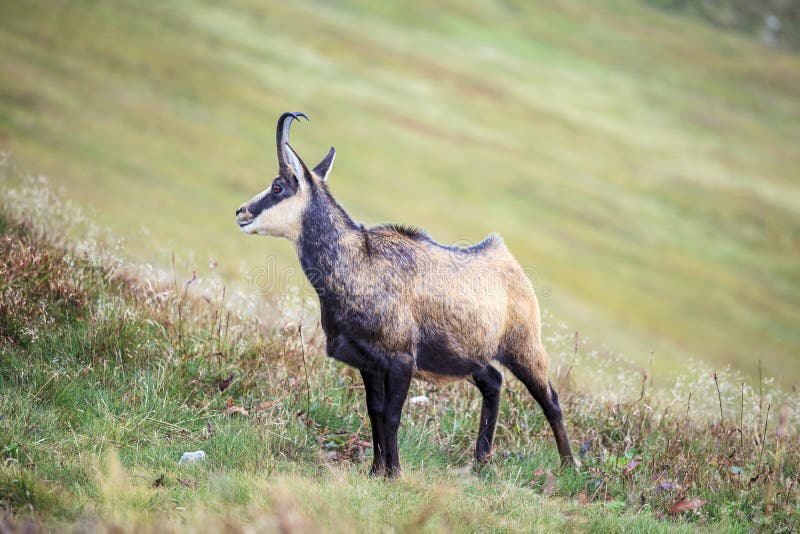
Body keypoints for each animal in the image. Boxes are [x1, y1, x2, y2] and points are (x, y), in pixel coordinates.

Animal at [235, 112, 575, 477]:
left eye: (277, 187)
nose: (240, 212)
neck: (362, 265)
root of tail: (507, 257)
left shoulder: (400, 360)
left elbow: (392, 416)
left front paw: (394, 473)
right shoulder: (368, 362)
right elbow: (374, 412)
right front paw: (375, 471)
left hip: (524, 345)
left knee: (550, 400)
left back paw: (570, 466)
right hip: (466, 355)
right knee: (494, 381)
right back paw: (481, 458)